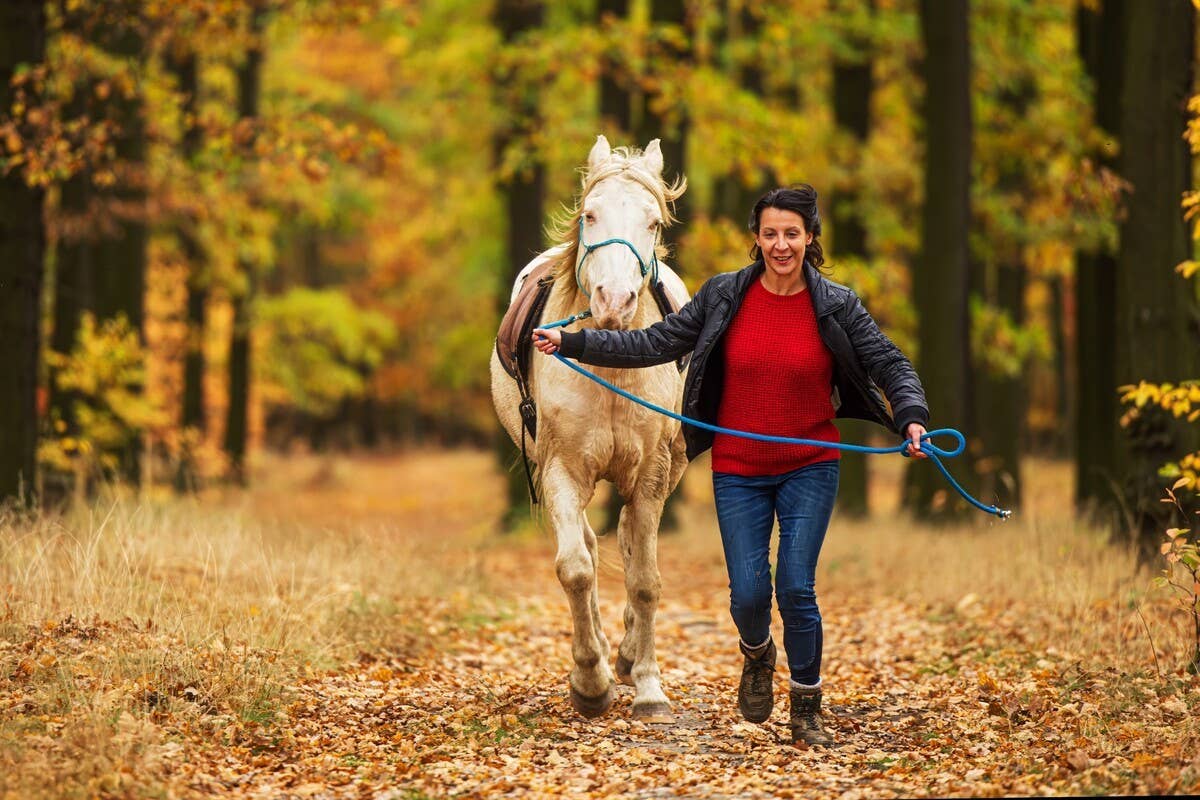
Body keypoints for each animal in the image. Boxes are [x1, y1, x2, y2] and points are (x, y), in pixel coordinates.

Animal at [490, 136, 690, 722]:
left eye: (653, 222)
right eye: (590, 215)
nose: (614, 302)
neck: (611, 356)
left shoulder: (651, 474)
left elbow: (645, 580)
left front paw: (647, 686)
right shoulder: (561, 469)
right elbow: (576, 568)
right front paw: (589, 681)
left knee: (626, 540)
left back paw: (625, 654)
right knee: (591, 548)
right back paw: (604, 654)